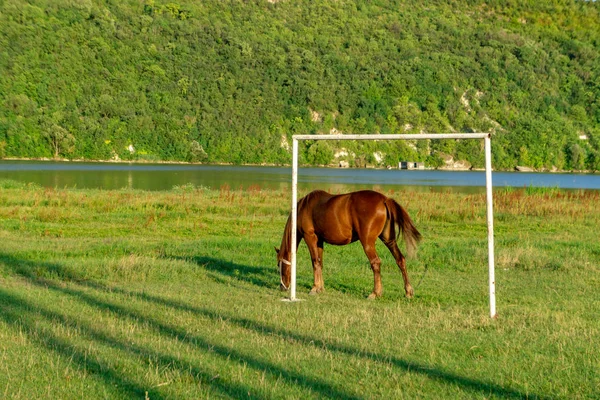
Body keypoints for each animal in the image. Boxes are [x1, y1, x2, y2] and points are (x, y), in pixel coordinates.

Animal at [276, 189, 422, 298]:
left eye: (279, 265)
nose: (282, 287)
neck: (304, 208)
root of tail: (384, 199)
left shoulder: (310, 237)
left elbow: (315, 262)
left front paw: (314, 288)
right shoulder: (320, 241)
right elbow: (320, 263)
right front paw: (321, 288)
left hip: (367, 242)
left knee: (376, 263)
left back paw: (375, 293)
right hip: (389, 240)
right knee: (400, 259)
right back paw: (408, 291)